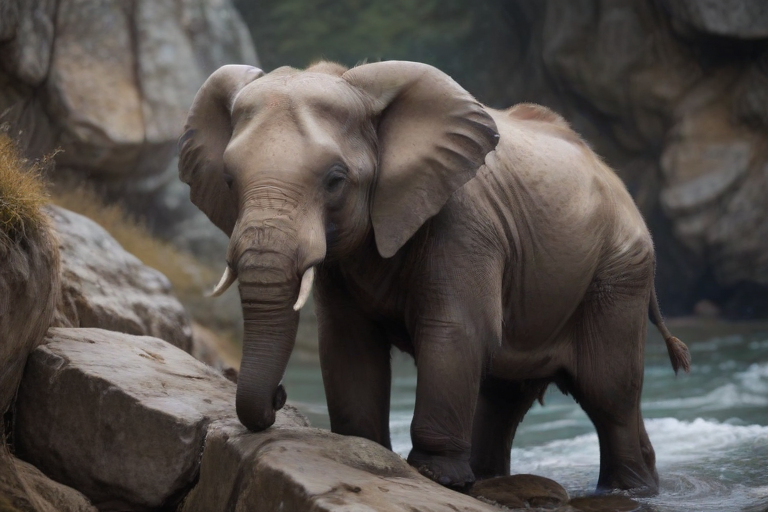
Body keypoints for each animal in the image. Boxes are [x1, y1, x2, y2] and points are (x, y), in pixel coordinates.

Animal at [178, 60, 691, 493]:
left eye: (335, 180)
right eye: (229, 180)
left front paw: (434, 475)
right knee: (505, 395)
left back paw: (627, 490)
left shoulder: (465, 224)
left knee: (608, 393)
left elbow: (456, 331)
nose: (280, 396)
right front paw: (364, 448)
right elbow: (347, 341)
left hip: (619, 272)